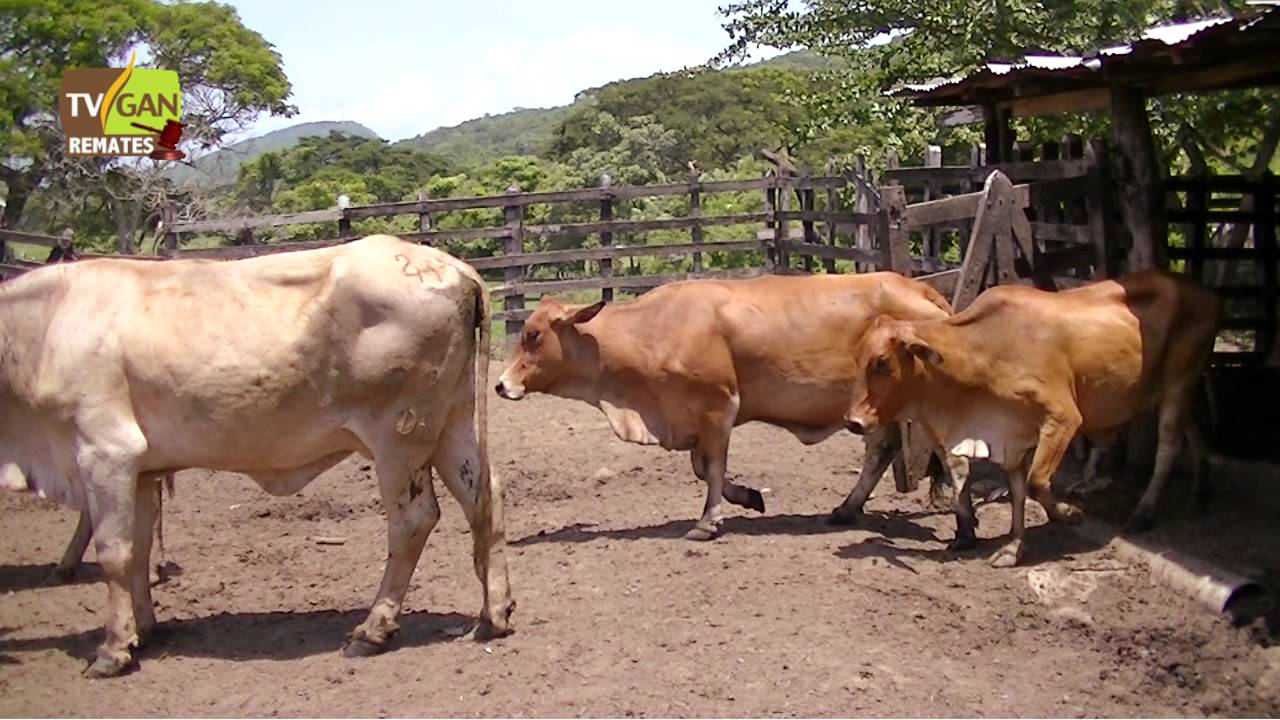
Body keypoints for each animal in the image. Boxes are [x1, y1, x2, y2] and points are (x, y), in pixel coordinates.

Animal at [0, 234, 513, 678]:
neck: (44, 325)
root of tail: (457, 269)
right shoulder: (144, 471)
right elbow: (140, 549)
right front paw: (143, 631)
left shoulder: (106, 453)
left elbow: (114, 551)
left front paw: (112, 650)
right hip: (451, 425)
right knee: (484, 499)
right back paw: (496, 613)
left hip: (399, 438)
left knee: (413, 521)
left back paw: (373, 629)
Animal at [494, 272, 965, 540]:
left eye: (533, 335)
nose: (500, 384)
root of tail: (920, 288)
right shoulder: (692, 418)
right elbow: (702, 468)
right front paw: (749, 497)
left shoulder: (719, 406)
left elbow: (714, 467)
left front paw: (708, 521)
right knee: (881, 449)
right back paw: (846, 510)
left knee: (949, 454)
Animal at [843, 269, 1220, 567]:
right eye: (858, 357)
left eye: (882, 361)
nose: (853, 421)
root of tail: (1201, 291)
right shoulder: (1010, 435)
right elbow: (1019, 491)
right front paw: (1013, 548)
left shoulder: (1062, 419)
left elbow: (1038, 483)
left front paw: (1070, 514)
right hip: (1174, 389)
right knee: (1194, 431)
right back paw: (1200, 492)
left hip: (1177, 383)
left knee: (1169, 445)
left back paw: (1144, 512)